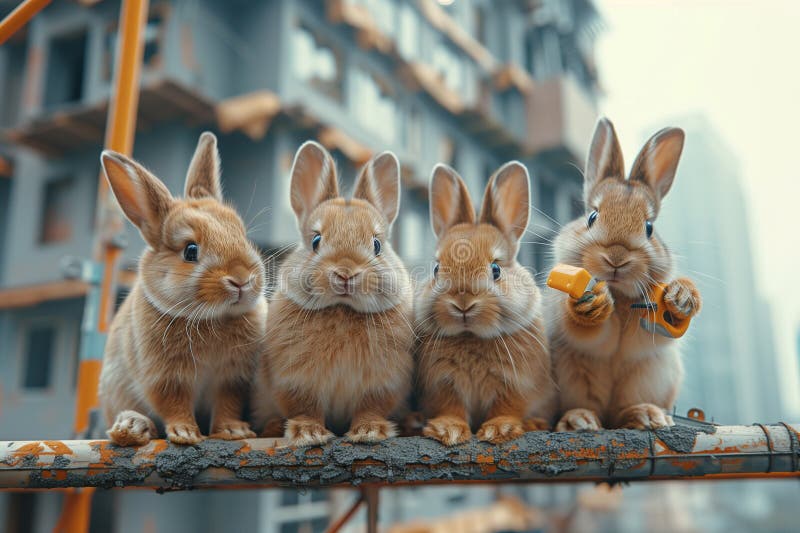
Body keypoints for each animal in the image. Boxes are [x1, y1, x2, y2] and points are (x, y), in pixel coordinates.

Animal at [98, 132, 267, 446]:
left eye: (242, 236)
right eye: (190, 251)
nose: (241, 279)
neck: (212, 318)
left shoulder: (232, 378)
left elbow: (227, 404)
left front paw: (233, 431)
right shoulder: (165, 377)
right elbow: (174, 404)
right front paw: (185, 433)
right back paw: (131, 428)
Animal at [253, 141, 414, 446]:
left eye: (377, 245)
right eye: (316, 241)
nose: (345, 272)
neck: (342, 308)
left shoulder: (384, 383)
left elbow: (371, 407)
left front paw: (369, 432)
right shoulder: (295, 381)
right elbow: (305, 407)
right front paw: (309, 434)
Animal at [415, 162, 556, 446]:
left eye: (495, 269)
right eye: (436, 269)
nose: (463, 303)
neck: (471, 337)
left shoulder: (516, 383)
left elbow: (507, 407)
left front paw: (498, 430)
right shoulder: (442, 384)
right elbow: (451, 408)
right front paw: (448, 430)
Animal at [548, 118, 701, 431]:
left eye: (649, 227)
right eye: (592, 217)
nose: (616, 258)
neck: (617, 295)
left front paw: (681, 297)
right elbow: (582, 329)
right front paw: (591, 305)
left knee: (621, 413)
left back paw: (646, 416)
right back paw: (578, 421)